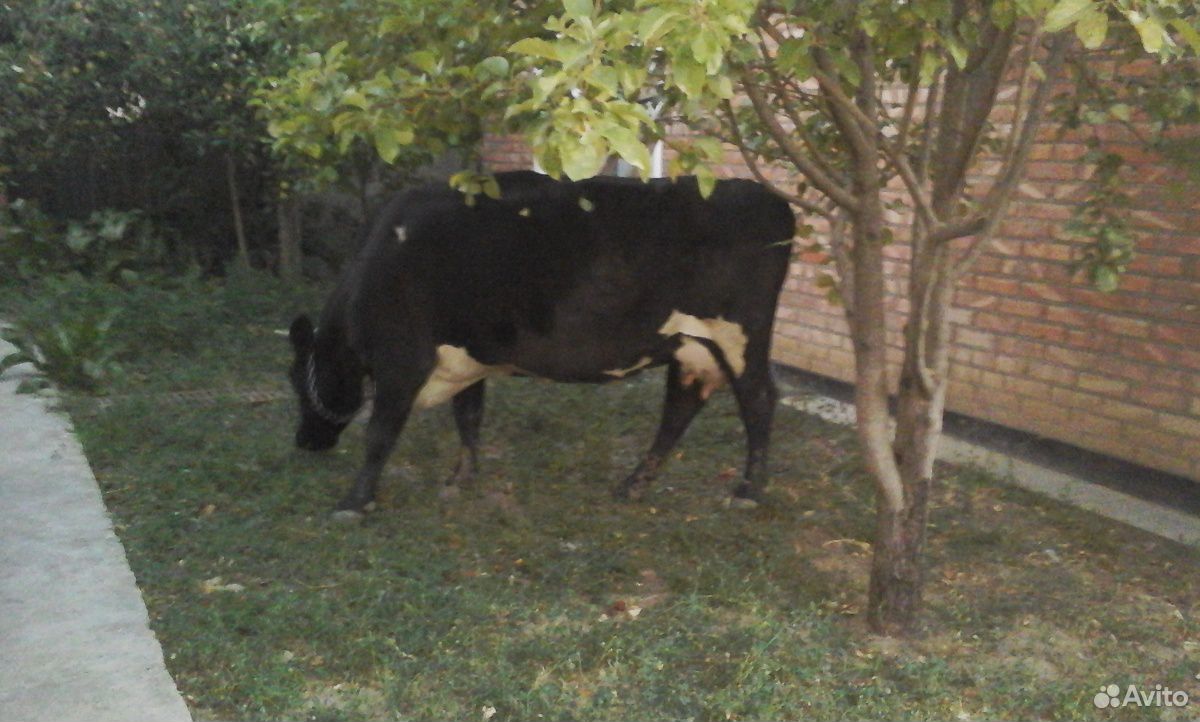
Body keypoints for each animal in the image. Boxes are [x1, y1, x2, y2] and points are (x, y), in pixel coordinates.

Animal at [287, 170, 795, 521]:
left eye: (295, 380)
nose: (305, 442)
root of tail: (769, 198)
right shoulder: (468, 356)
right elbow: (468, 418)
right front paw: (461, 479)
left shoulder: (402, 359)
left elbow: (379, 434)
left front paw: (354, 502)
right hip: (691, 345)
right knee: (680, 408)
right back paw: (633, 485)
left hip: (740, 334)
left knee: (758, 400)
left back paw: (748, 491)